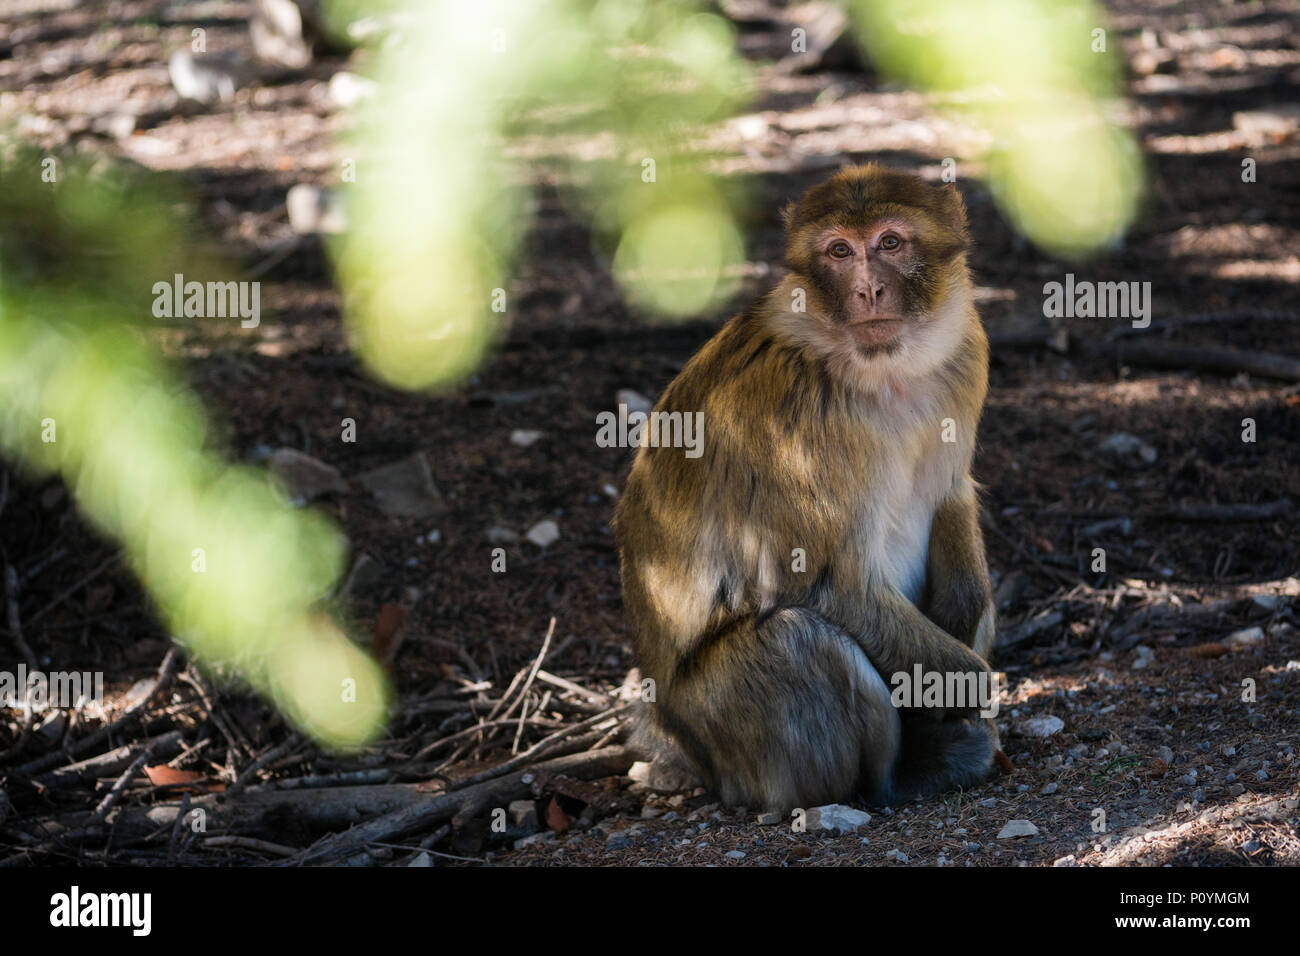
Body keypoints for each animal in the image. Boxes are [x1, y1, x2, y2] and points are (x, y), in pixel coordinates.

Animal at [612, 164, 999, 811]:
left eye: (889, 242)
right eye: (839, 251)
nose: (867, 291)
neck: (881, 372)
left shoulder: (966, 354)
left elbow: (951, 494)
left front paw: (966, 609)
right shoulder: (792, 419)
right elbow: (830, 585)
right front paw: (968, 685)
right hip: (735, 741)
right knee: (798, 638)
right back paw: (901, 776)